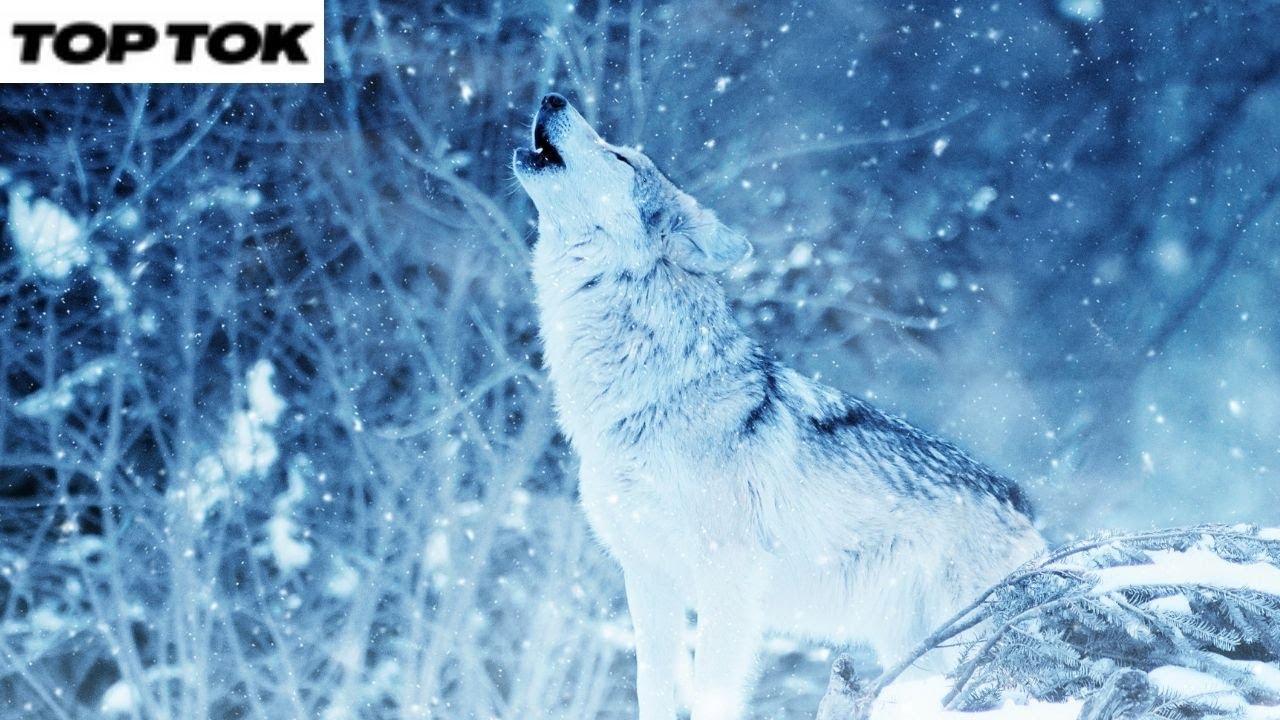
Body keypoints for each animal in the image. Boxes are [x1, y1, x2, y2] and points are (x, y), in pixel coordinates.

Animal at [513, 93, 1045, 720]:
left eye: (620, 157)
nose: (553, 97)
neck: (646, 393)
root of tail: (1024, 505)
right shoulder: (648, 578)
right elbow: (653, 688)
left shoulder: (728, 580)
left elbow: (714, 693)